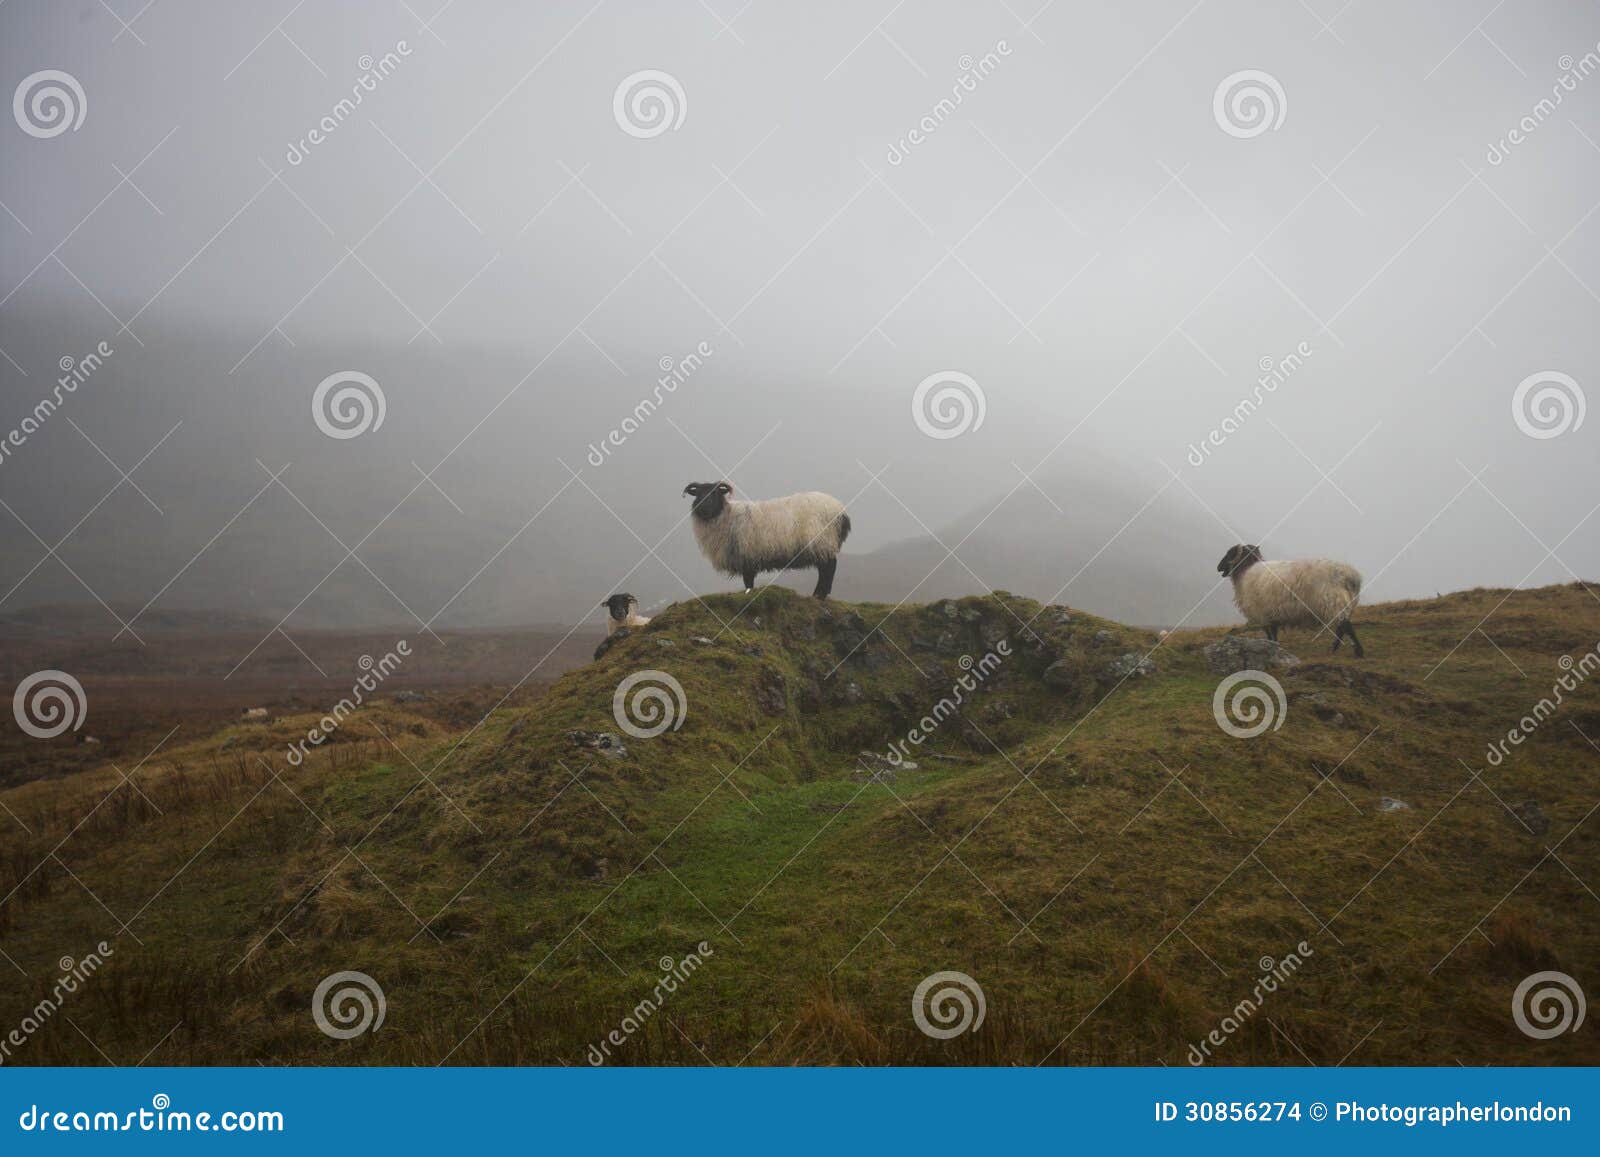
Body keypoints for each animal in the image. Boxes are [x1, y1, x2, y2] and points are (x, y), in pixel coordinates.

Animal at [682, 481, 852, 599]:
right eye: (698, 494)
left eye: (715, 493)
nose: (704, 507)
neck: (727, 516)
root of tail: (841, 511)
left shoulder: (747, 557)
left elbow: (748, 582)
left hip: (822, 542)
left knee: (828, 569)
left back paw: (819, 595)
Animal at [1216, 544, 1365, 657]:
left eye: (1229, 553)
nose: (1218, 567)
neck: (1245, 571)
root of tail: (1351, 575)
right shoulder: (1271, 613)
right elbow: (1273, 632)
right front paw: (1275, 647)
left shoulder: (1262, 612)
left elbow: (1270, 634)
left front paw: (1272, 647)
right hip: (1343, 602)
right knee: (1343, 627)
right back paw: (1340, 649)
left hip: (1333, 601)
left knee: (1345, 626)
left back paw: (1352, 651)